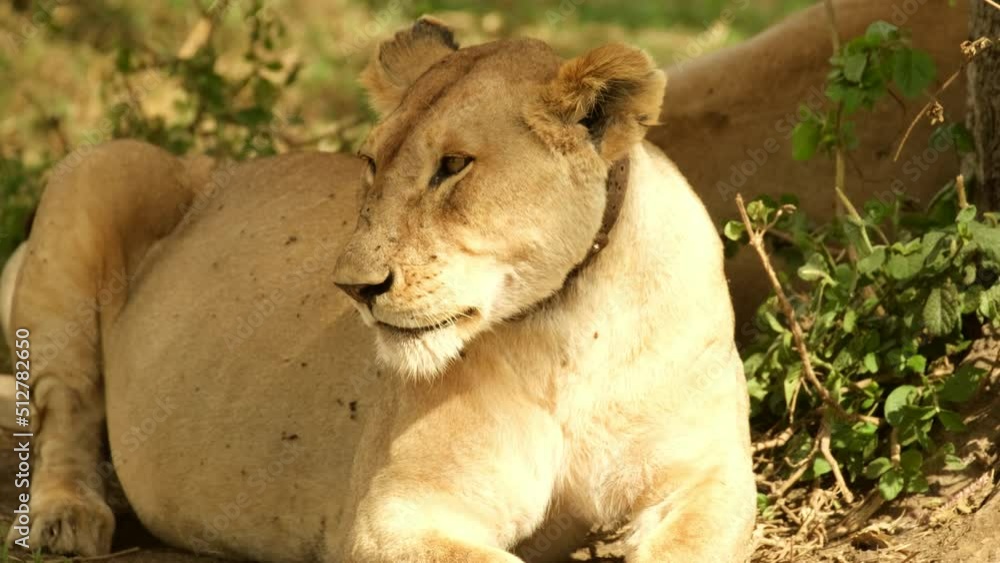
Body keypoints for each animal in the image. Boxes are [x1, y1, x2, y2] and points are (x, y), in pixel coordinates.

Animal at [4, 17, 755, 563]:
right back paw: (67, 517)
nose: (353, 287)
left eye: (454, 165)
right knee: (61, 404)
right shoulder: (393, 511)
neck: (565, 329)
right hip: (97, 168)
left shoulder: (710, 476)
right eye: (372, 161)